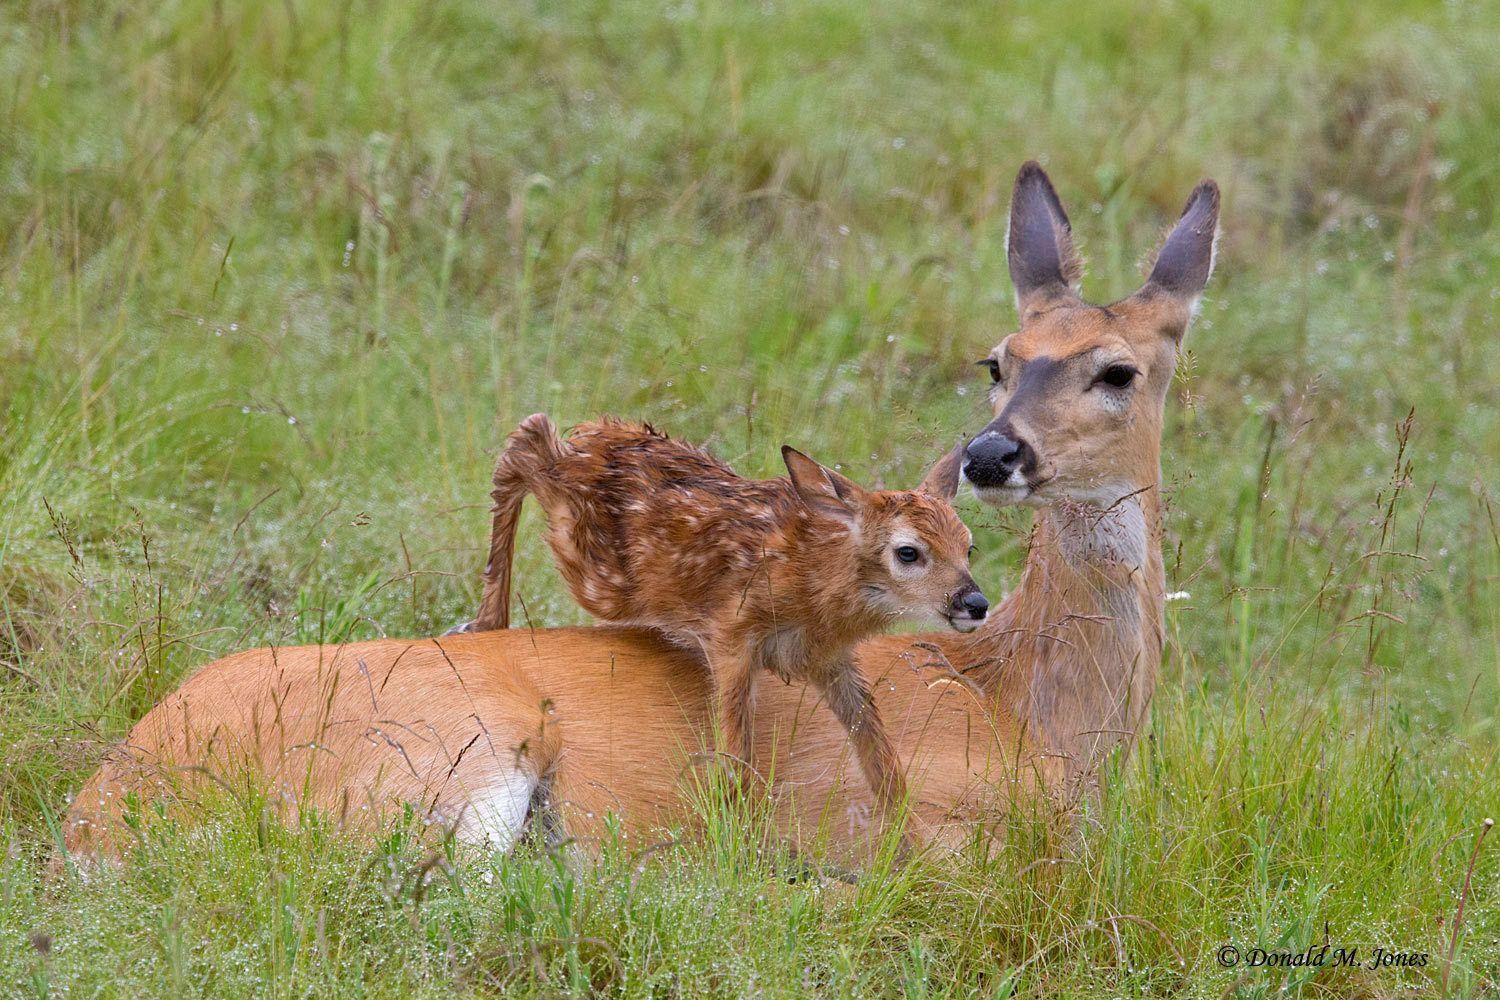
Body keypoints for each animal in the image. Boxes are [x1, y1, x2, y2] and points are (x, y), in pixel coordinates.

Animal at [453, 414, 985, 838]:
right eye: (908, 552)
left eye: (968, 545)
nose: (974, 602)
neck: (813, 582)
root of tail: (596, 432)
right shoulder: (731, 634)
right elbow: (737, 761)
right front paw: (738, 849)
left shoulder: (829, 661)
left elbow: (884, 764)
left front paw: (914, 855)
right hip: (596, 568)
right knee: (529, 441)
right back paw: (485, 621)